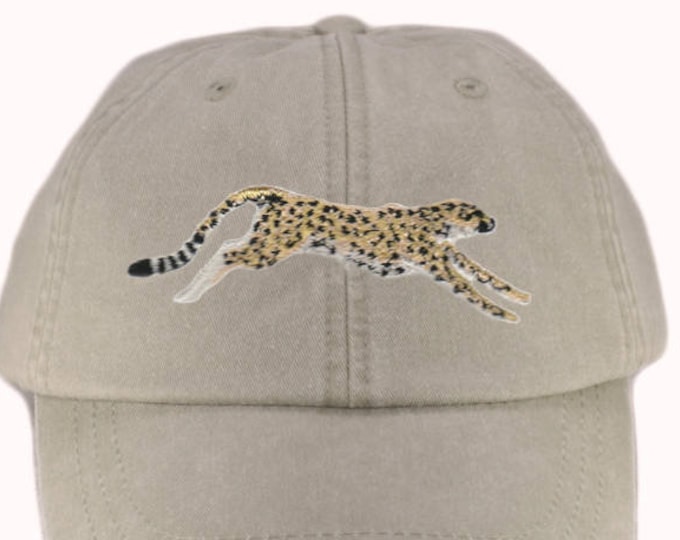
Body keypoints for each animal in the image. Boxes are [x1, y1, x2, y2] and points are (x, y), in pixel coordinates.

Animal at [128, 185, 531, 322]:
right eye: (478, 214)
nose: (493, 221)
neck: (439, 219)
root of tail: (281, 193)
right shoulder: (439, 266)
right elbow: (473, 291)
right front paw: (506, 315)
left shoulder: (449, 256)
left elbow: (485, 275)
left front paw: (519, 296)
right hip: (273, 247)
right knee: (227, 254)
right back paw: (190, 294)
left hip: (265, 239)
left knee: (226, 246)